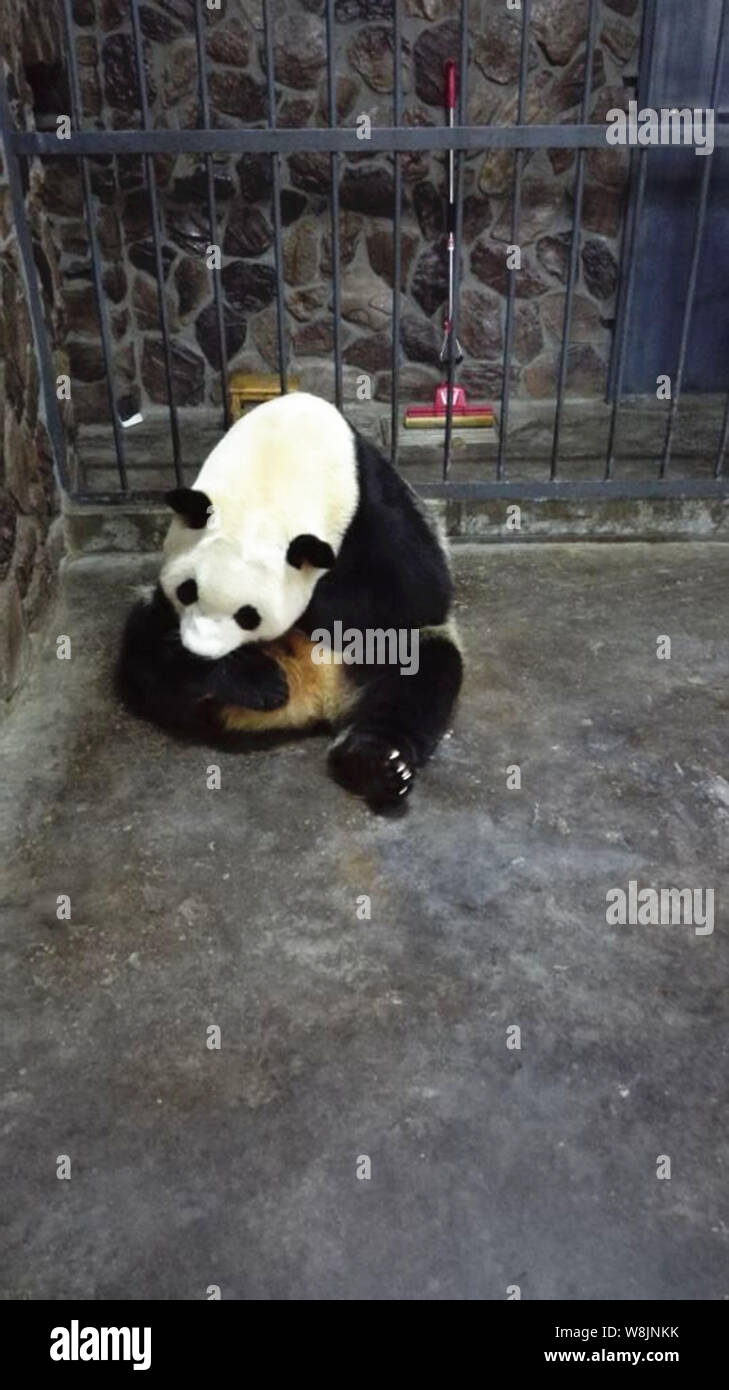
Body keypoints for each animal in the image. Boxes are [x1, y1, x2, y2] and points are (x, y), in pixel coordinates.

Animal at [117, 391, 463, 812]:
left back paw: (377, 763)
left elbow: (418, 591)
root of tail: (318, 696)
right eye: (188, 591)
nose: (201, 650)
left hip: (387, 656)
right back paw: (257, 682)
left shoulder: (374, 505)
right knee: (147, 641)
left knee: (418, 675)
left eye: (248, 616)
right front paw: (247, 675)